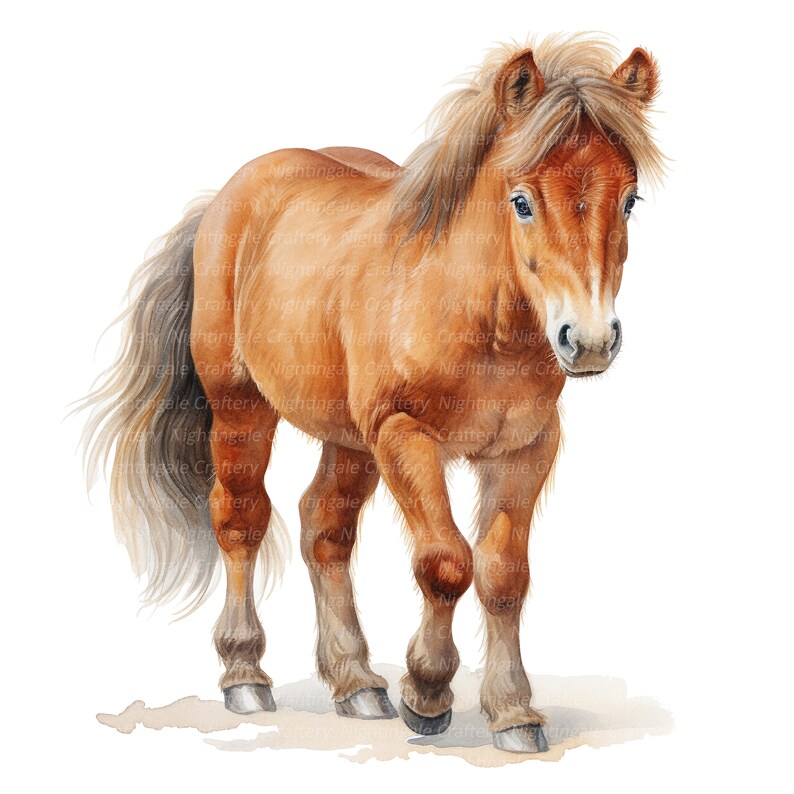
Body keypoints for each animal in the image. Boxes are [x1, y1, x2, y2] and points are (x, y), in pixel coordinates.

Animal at [79, 34, 665, 754]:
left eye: (630, 200)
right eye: (522, 200)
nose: (587, 340)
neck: (478, 317)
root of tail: (226, 198)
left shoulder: (527, 449)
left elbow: (504, 575)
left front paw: (513, 712)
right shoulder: (403, 434)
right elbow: (446, 562)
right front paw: (429, 693)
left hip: (348, 440)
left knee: (323, 528)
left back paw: (355, 681)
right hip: (244, 409)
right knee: (240, 518)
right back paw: (245, 674)